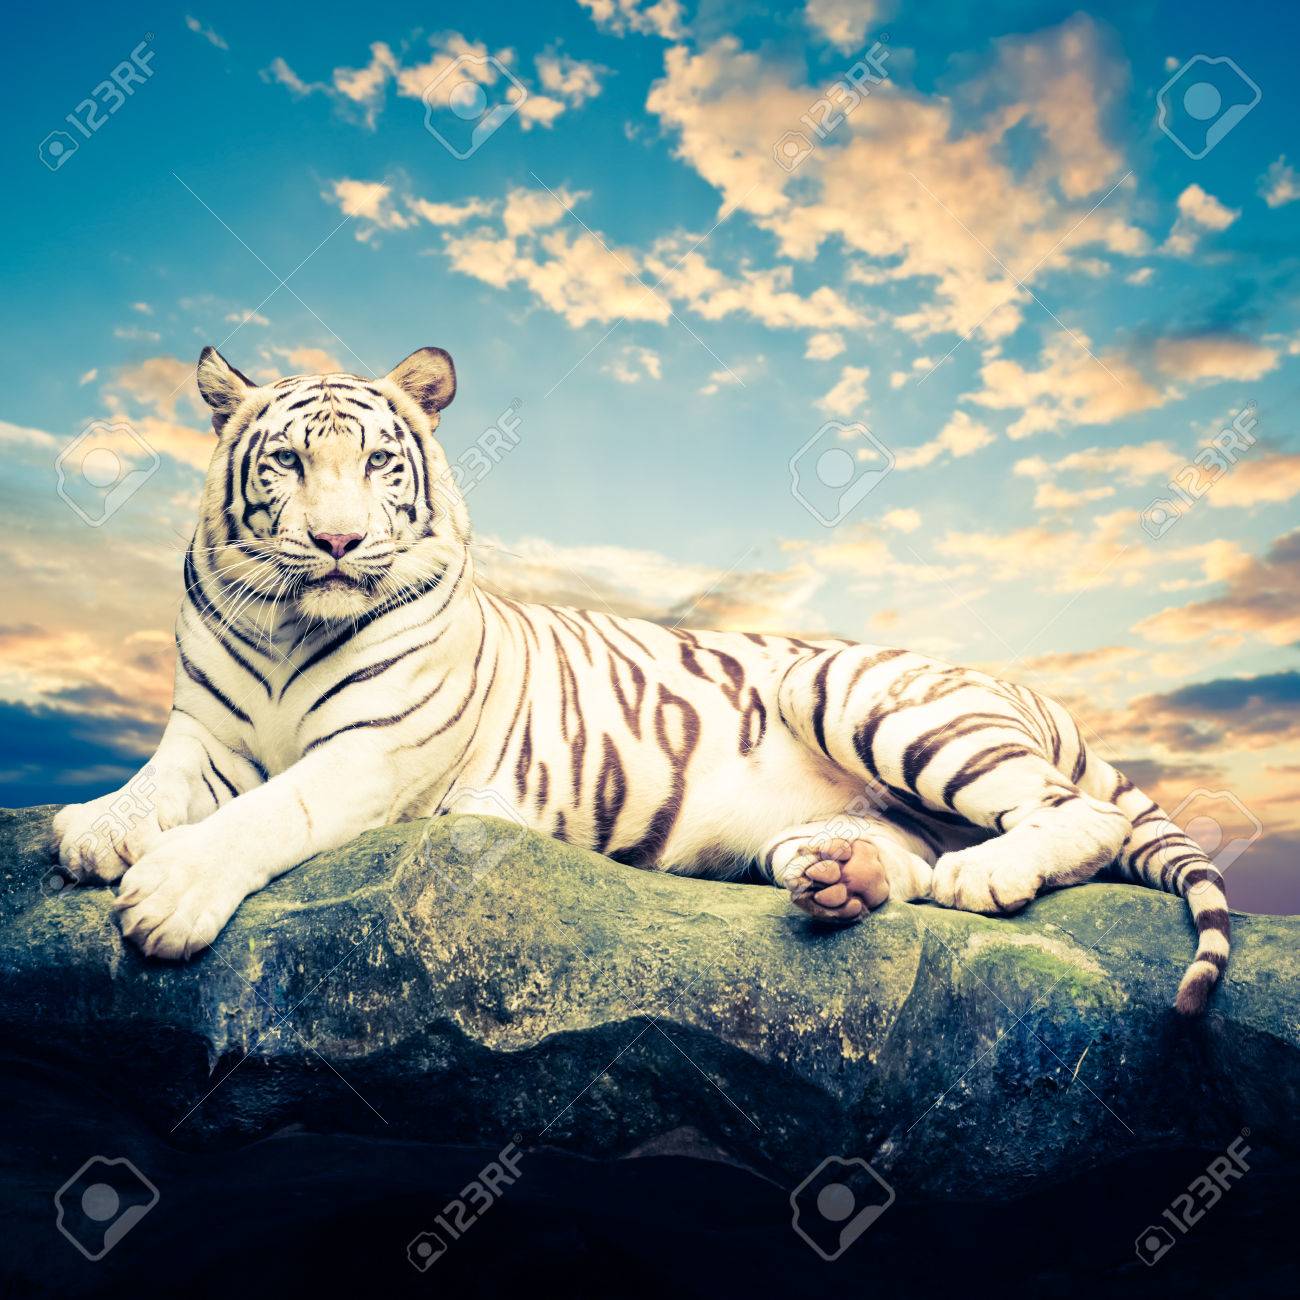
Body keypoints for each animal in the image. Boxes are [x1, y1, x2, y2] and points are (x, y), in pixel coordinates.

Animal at [50, 345, 1231, 1014]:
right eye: (288, 463)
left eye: (380, 464)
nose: (338, 543)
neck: (294, 623)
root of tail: (1029, 691)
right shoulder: (206, 735)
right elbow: (157, 786)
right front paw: (93, 829)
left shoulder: (375, 753)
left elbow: (269, 813)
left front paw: (165, 895)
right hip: (838, 811)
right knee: (900, 851)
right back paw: (842, 877)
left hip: (861, 697)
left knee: (1073, 815)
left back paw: (985, 876)